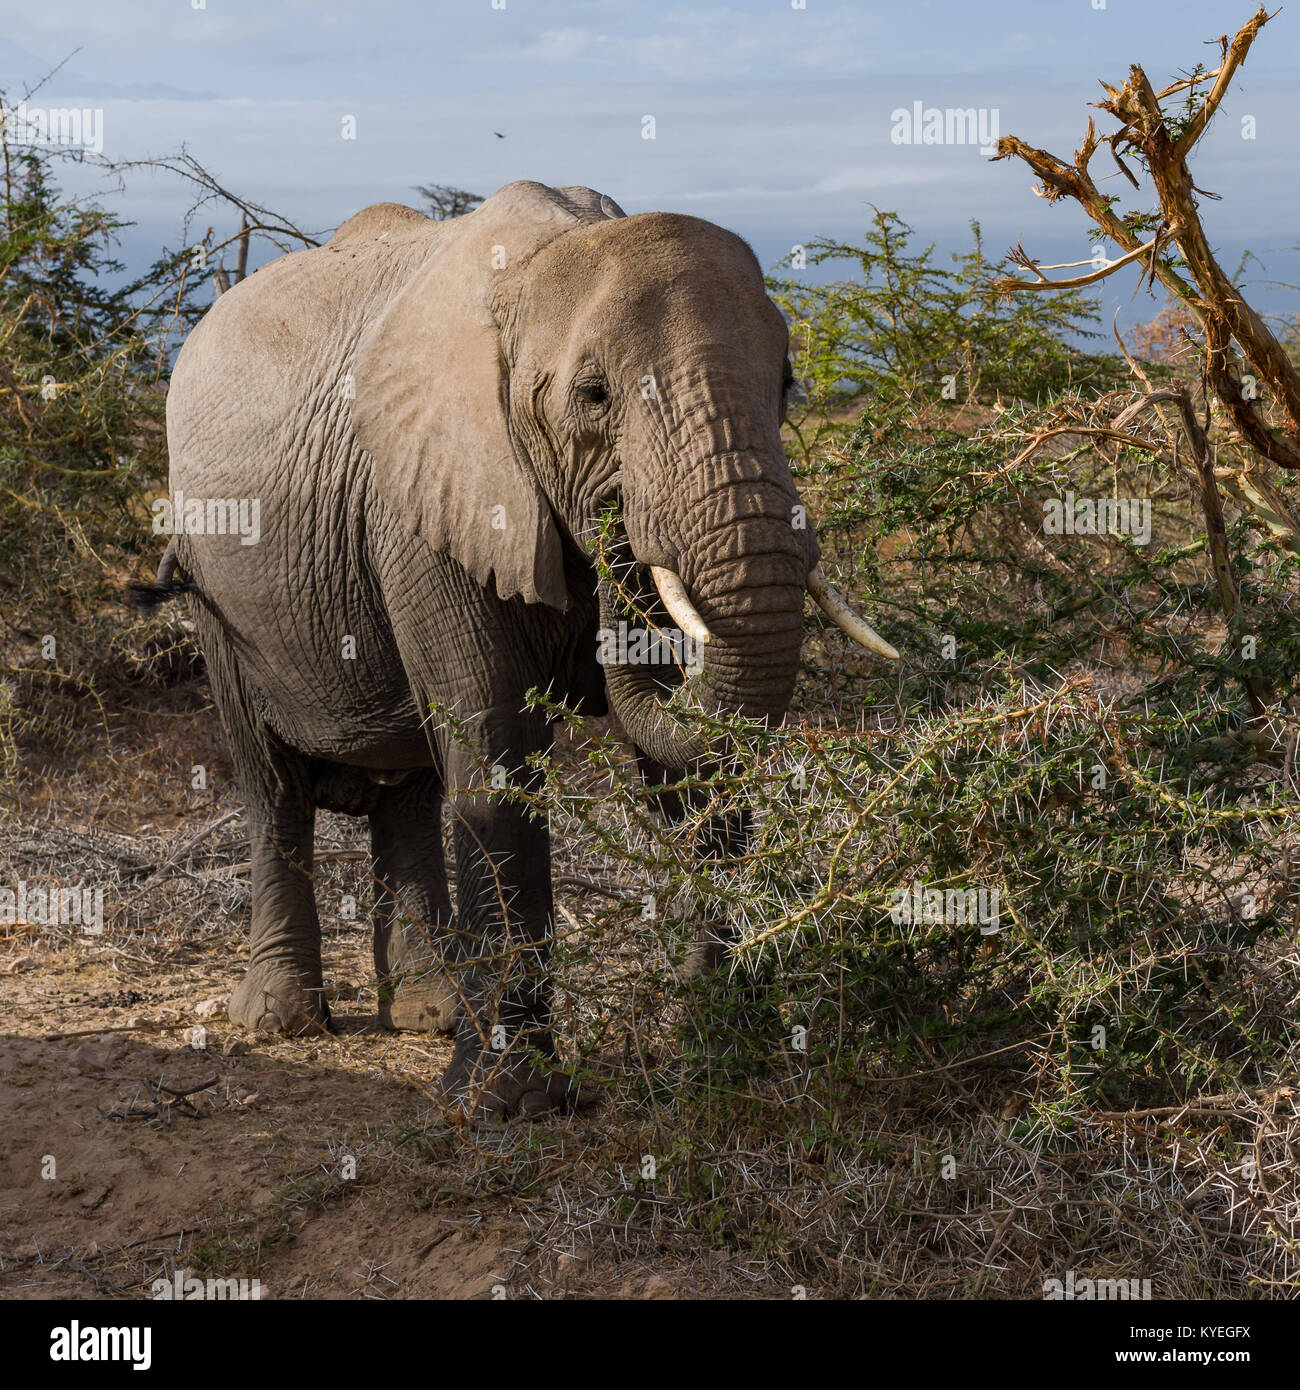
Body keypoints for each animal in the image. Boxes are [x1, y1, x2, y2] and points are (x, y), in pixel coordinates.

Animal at [134, 181, 896, 1118]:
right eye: (595, 396)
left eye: (787, 385)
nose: (618, 541)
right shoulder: (430, 502)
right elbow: (498, 756)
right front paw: (507, 1104)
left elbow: (693, 769)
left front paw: (728, 1059)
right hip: (212, 578)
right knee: (271, 781)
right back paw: (282, 1023)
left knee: (412, 787)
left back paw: (425, 1015)